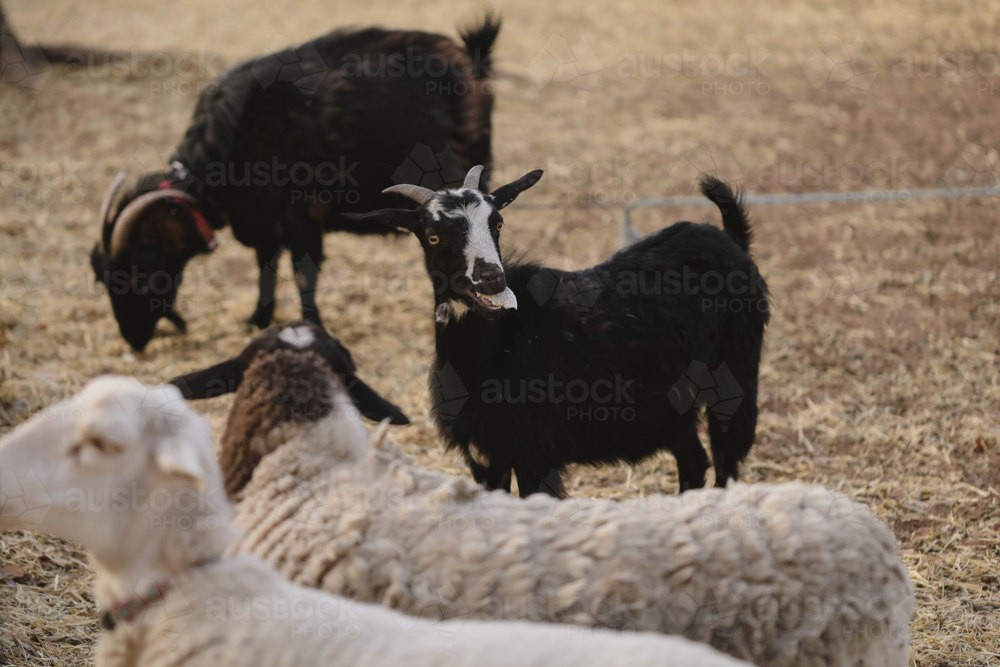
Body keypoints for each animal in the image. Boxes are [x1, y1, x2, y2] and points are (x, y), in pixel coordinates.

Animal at [90, 17, 500, 351]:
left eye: (138, 276)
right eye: (104, 279)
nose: (133, 341)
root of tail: (471, 57)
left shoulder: (299, 214)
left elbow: (304, 271)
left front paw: (311, 325)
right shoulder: (263, 222)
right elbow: (266, 267)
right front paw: (258, 319)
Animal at [343, 168, 770, 497]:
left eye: (497, 224)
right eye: (433, 235)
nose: (491, 278)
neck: (495, 352)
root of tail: (729, 238)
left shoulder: (535, 451)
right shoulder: (487, 457)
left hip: (735, 374)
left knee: (726, 459)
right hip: (673, 405)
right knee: (693, 461)